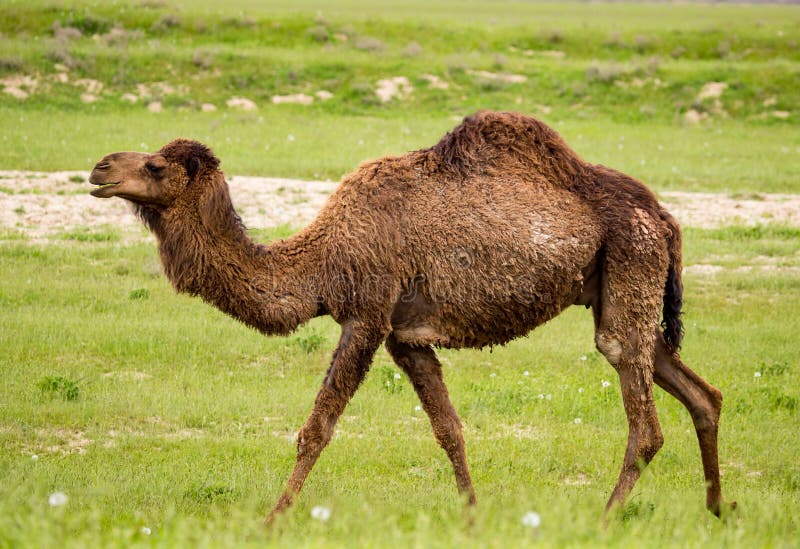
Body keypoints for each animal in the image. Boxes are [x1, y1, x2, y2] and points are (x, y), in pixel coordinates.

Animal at [88, 110, 733, 522]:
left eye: (155, 167)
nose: (99, 169)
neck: (322, 260)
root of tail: (664, 216)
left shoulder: (367, 316)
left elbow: (317, 428)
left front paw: (271, 520)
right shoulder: (406, 337)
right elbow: (449, 429)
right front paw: (473, 518)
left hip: (632, 263)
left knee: (642, 414)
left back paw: (605, 520)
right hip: (625, 291)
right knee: (699, 391)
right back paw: (716, 511)